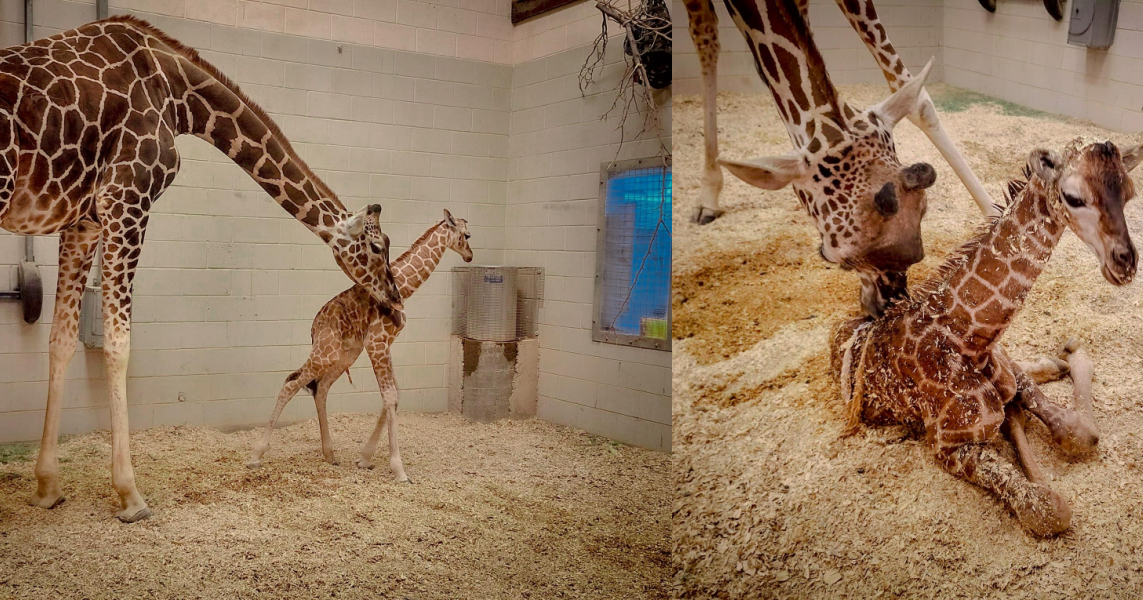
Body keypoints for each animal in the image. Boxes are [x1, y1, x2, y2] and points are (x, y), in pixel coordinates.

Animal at [1, 16, 405, 522]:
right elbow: (118, 343)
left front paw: (47, 485)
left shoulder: (83, 220)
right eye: (376, 246)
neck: (178, 94)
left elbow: (61, 341)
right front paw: (130, 495)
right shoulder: (127, 200)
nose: (395, 301)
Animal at [247, 210, 473, 480]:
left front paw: (365, 458)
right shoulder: (377, 342)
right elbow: (390, 396)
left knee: (320, 388)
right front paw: (399, 469)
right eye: (467, 235)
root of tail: (314, 325)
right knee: (291, 383)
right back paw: (256, 455)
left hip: (345, 355)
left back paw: (330, 454)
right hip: (326, 352)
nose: (470, 255)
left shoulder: (384, 343)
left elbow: (394, 395)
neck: (404, 287)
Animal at [681, 0, 997, 317]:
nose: (881, 308)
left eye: (922, 223)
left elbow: (913, 95)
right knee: (705, 37)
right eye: (834, 258)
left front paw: (994, 217)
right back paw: (706, 200)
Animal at [829, 139, 1141, 536]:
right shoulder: (948, 445)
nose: (1124, 264)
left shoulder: (1013, 376)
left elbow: (1080, 431)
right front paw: (1018, 431)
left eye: (1130, 193)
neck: (969, 338)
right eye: (1073, 197)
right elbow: (1049, 509)